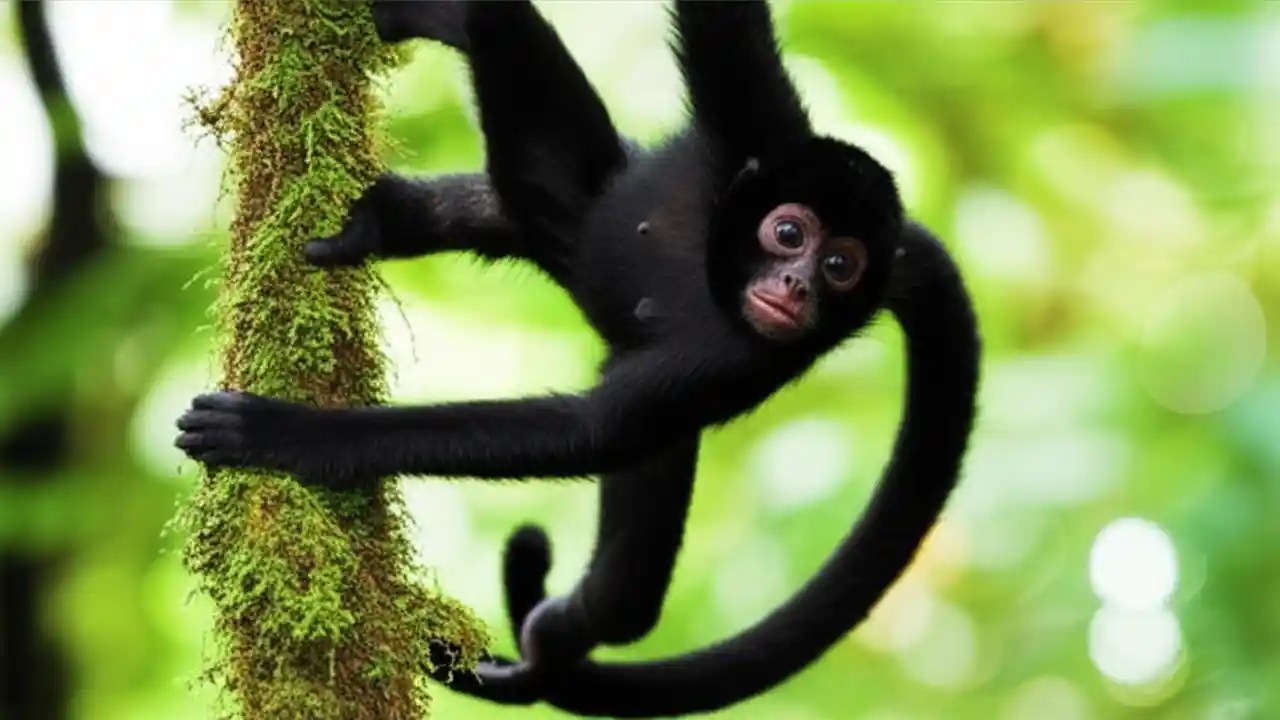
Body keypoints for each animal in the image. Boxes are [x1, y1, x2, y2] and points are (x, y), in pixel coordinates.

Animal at [175, 1, 981, 715]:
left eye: (841, 266)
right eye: (789, 234)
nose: (798, 285)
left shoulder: (750, 356)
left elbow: (594, 430)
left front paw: (287, 435)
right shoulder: (756, 115)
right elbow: (724, 21)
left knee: (627, 598)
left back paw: (552, 642)